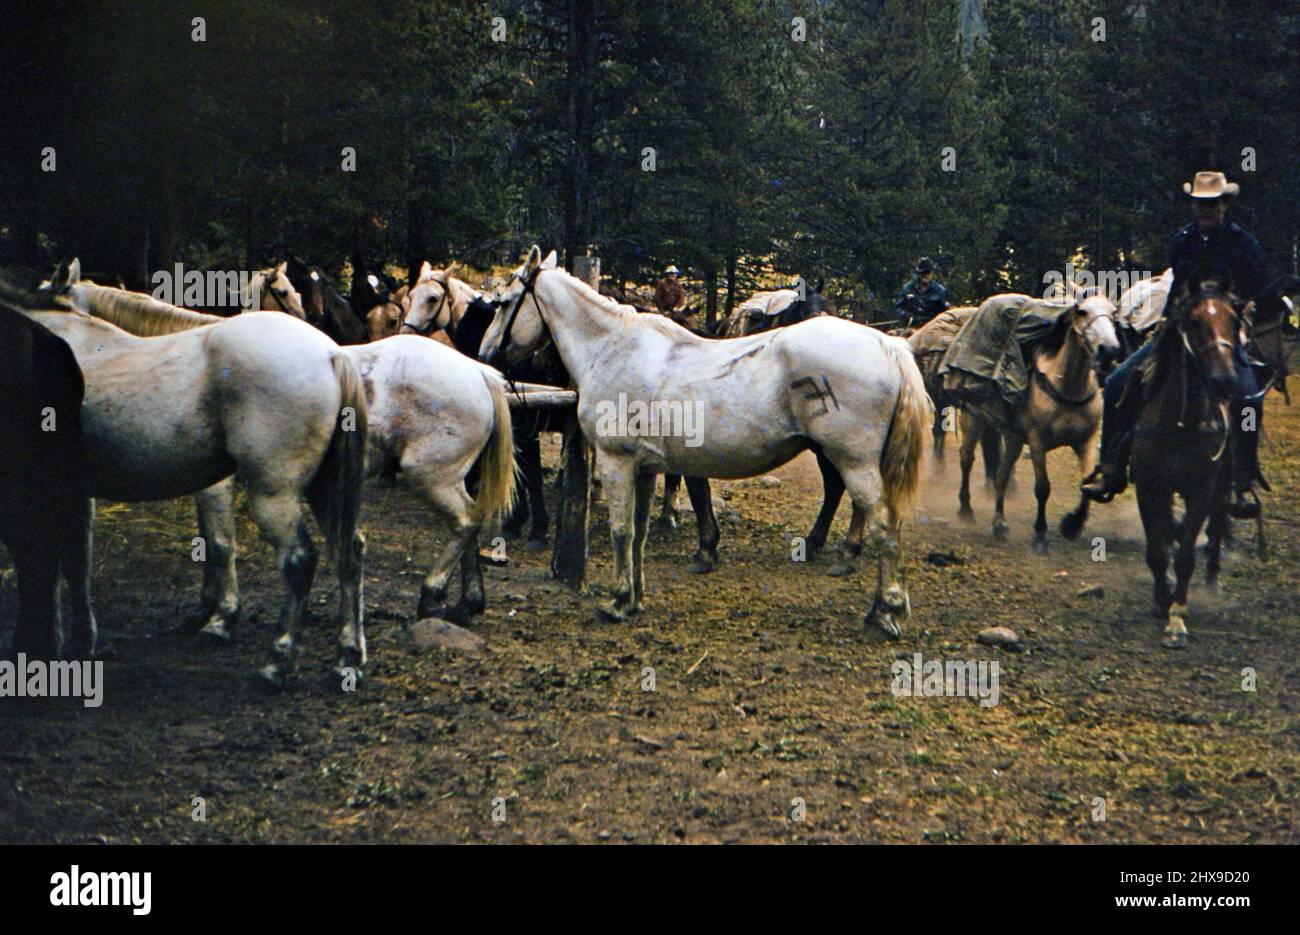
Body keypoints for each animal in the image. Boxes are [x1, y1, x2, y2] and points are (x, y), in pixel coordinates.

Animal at [15, 260, 369, 689]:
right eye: (285, 291)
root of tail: (330, 352)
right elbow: (76, 560)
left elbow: (218, 543)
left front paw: (221, 619)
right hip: (325, 489)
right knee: (350, 554)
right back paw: (348, 657)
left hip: (275, 494)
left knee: (299, 561)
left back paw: (279, 662)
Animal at [64, 277, 518, 626]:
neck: (193, 367)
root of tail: (478, 371)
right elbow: (208, 541)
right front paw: (205, 607)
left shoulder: (217, 485)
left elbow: (220, 542)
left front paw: (223, 614)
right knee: (472, 522)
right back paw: (466, 603)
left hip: (430, 476)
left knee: (465, 521)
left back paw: (431, 593)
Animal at [480, 247, 931, 638]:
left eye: (504, 303)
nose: (485, 355)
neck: (612, 349)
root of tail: (886, 345)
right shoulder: (645, 468)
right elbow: (640, 532)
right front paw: (635, 598)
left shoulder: (616, 461)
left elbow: (621, 531)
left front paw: (617, 600)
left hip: (853, 462)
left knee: (884, 526)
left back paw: (884, 612)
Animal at [956, 294, 1119, 553]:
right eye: (1082, 311)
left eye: (1113, 312)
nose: (1109, 349)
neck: (1067, 388)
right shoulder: (1037, 443)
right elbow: (1042, 488)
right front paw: (1040, 535)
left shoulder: (1086, 441)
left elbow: (1086, 482)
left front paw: (1073, 524)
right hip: (973, 421)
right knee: (966, 460)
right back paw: (965, 509)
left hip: (1013, 438)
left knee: (1001, 475)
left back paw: (999, 523)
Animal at [1132, 284, 1241, 649]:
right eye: (1193, 322)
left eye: (1234, 320)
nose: (1224, 380)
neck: (1182, 422)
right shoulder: (1150, 486)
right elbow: (1157, 549)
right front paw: (1161, 598)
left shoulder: (1201, 491)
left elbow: (1185, 556)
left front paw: (1176, 618)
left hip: (1221, 488)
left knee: (1217, 527)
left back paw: (1213, 578)